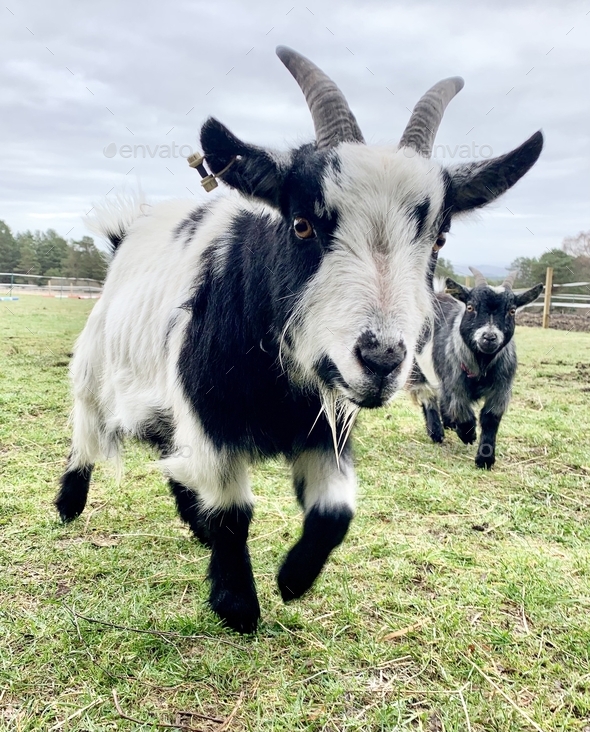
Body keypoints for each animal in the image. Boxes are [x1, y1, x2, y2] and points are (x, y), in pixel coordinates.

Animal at [409, 268, 543, 468]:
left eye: (512, 311)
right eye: (470, 307)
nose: (489, 337)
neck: (481, 365)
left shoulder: (501, 389)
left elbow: (490, 419)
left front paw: (485, 458)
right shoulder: (454, 384)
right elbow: (463, 412)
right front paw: (468, 434)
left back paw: (448, 423)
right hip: (417, 367)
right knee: (427, 395)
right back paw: (436, 432)